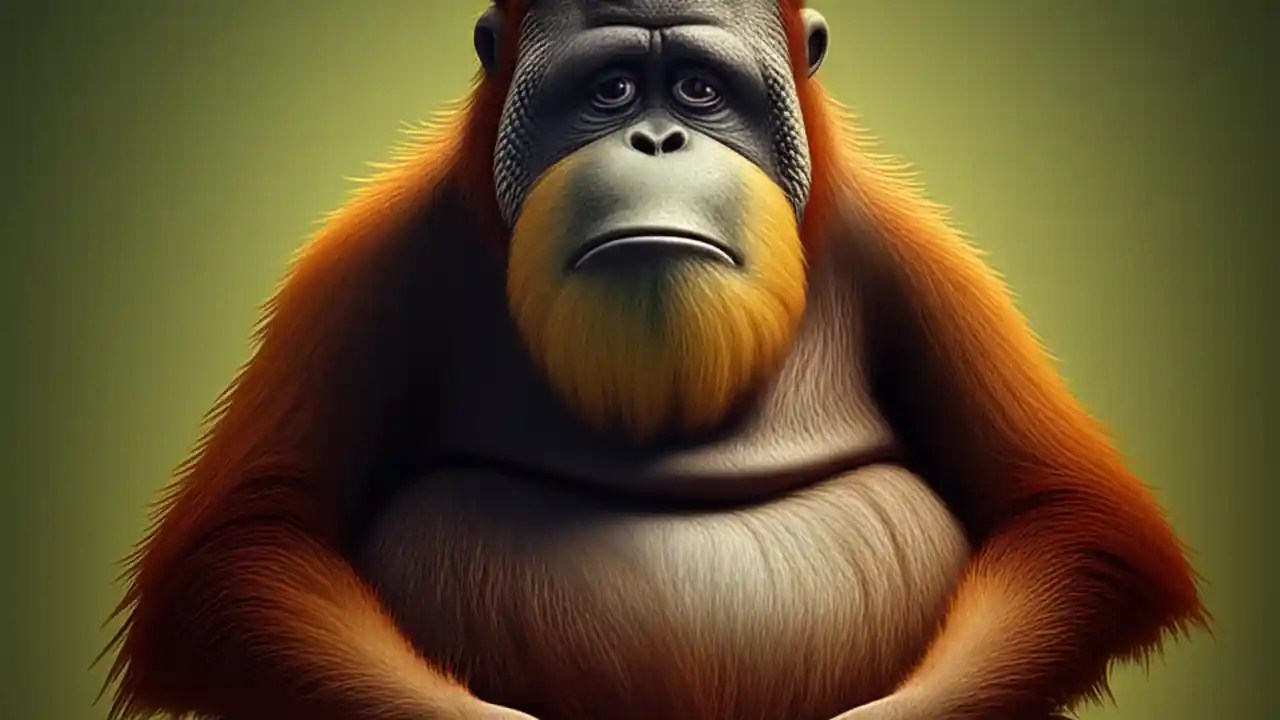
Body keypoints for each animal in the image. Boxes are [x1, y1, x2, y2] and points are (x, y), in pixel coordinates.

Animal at [102, 1, 1208, 719]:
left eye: (701, 89)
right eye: (612, 88)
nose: (658, 139)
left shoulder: (913, 257)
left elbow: (1070, 516)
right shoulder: (363, 260)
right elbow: (242, 547)